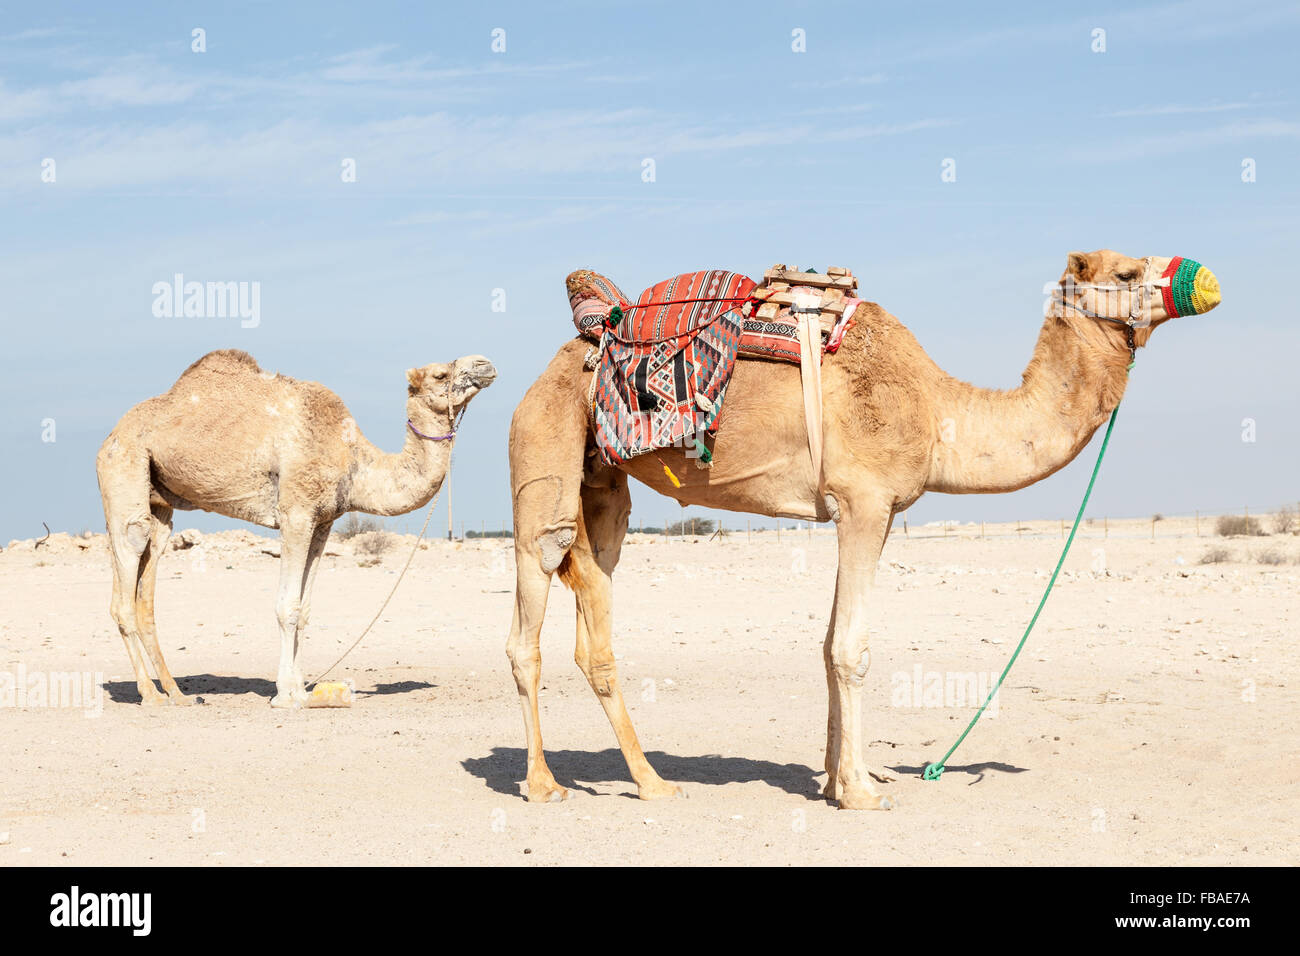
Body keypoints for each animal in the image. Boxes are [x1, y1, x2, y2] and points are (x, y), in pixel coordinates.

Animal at [96, 349, 497, 708]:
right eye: (440, 375)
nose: (485, 363)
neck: (352, 458)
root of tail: (110, 437)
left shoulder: (323, 522)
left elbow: (303, 610)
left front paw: (301, 688)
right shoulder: (296, 514)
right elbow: (286, 606)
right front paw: (287, 695)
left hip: (160, 502)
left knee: (150, 577)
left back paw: (177, 694)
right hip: (124, 469)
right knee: (128, 562)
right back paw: (150, 695)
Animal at [506, 250, 1220, 808]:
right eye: (1126, 272)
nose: (1204, 279)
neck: (939, 411)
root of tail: (542, 375)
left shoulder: (869, 511)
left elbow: (828, 644)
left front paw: (833, 779)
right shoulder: (866, 501)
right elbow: (852, 648)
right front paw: (860, 791)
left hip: (602, 484)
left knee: (595, 608)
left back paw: (651, 781)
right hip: (542, 443)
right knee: (531, 609)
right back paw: (543, 784)